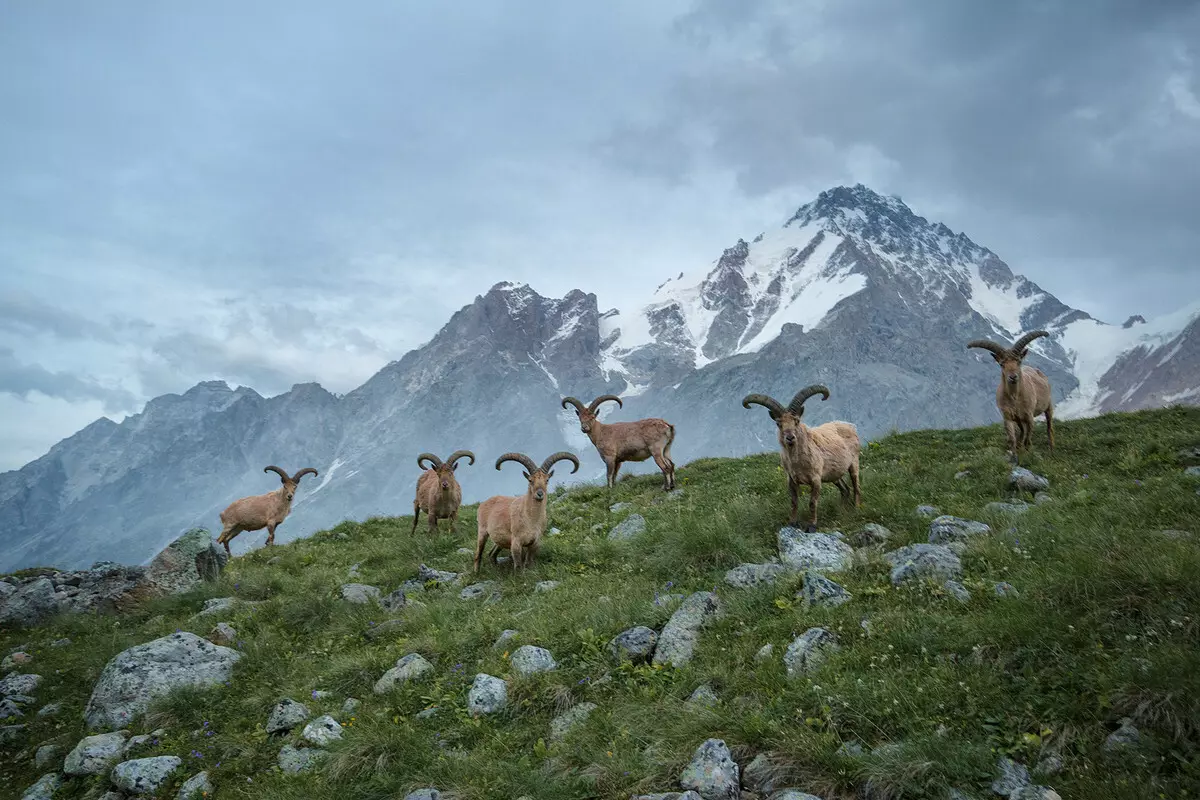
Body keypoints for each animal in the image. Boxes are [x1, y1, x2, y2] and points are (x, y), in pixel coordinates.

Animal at [739, 386, 864, 534]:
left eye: (797, 421)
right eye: (778, 423)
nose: (790, 438)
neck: (798, 462)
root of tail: (850, 426)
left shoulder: (816, 479)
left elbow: (812, 502)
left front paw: (812, 526)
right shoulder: (792, 480)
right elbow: (794, 502)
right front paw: (792, 523)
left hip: (854, 463)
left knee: (856, 486)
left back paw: (856, 508)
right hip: (834, 474)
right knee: (845, 489)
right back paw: (842, 509)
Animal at [969, 328, 1056, 460]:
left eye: (1018, 361)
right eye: (1002, 364)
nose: (1013, 377)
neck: (1015, 399)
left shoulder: (1029, 416)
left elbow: (1028, 439)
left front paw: (1028, 453)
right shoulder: (1008, 417)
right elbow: (1012, 439)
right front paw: (1014, 457)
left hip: (1048, 406)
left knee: (1049, 427)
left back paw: (1051, 449)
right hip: (1018, 419)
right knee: (1021, 432)